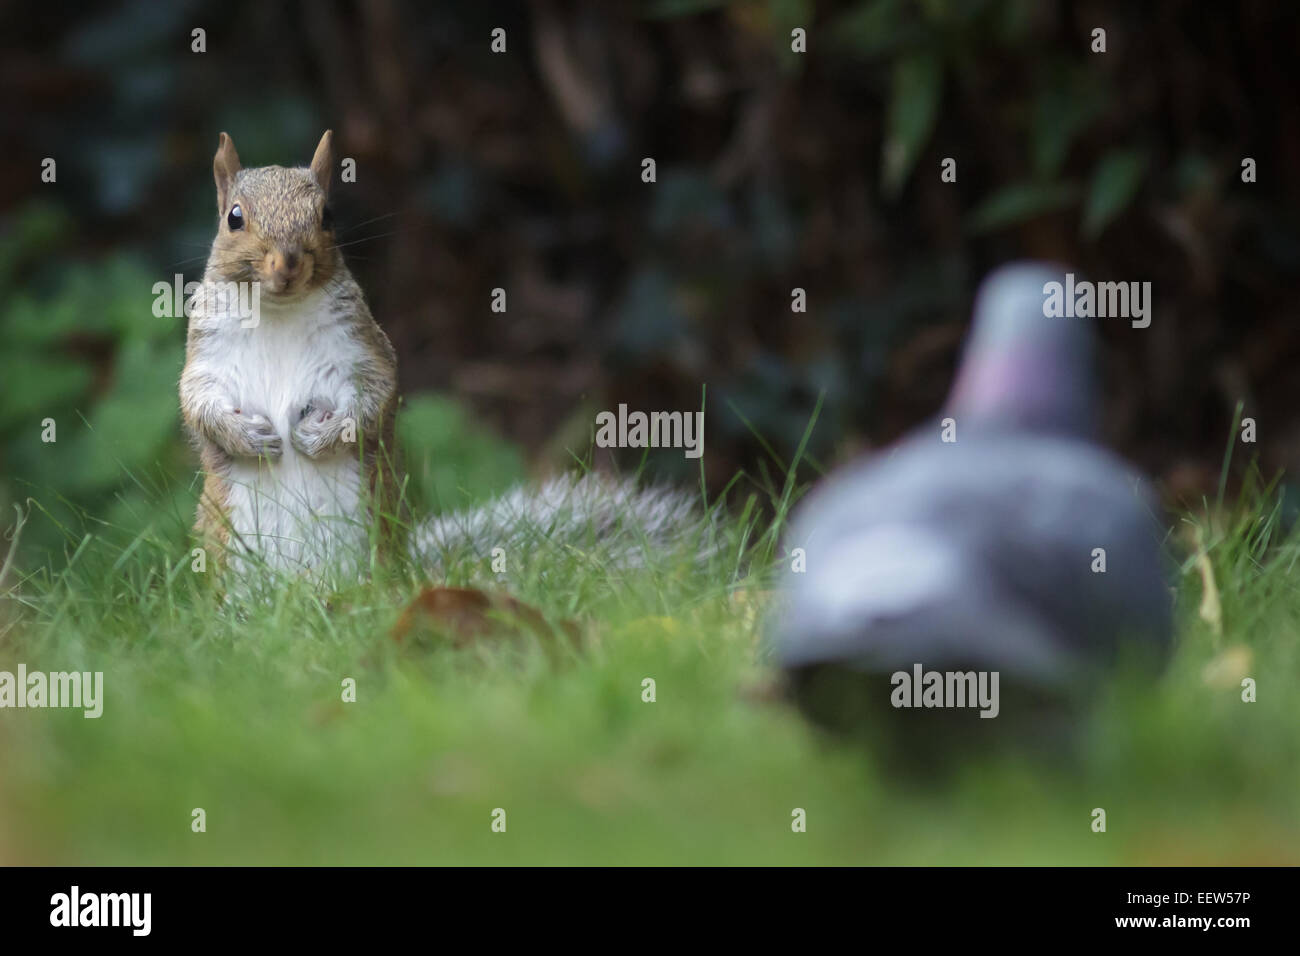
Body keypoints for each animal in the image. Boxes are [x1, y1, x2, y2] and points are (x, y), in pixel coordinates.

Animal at [181, 132, 703, 585]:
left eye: (327, 215)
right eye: (234, 218)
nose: (288, 262)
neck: (278, 313)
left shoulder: (361, 349)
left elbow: (376, 394)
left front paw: (322, 434)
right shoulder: (206, 355)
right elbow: (198, 404)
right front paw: (247, 436)